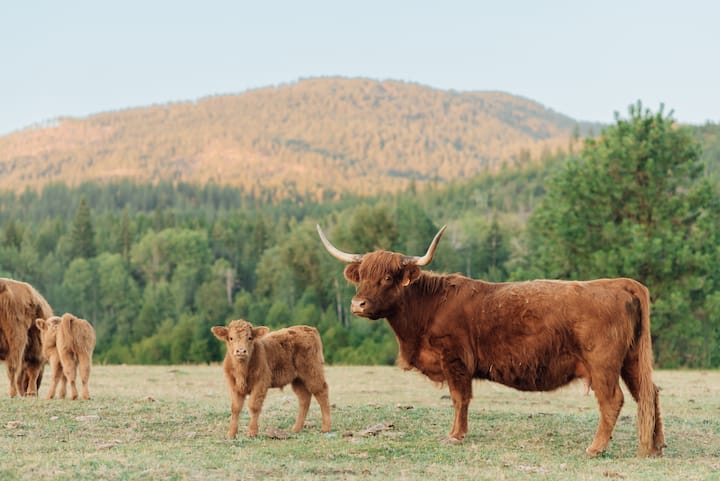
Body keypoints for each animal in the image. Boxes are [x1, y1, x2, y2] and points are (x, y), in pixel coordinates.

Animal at [317, 224, 665, 457]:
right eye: (361, 277)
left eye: (388, 277)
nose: (357, 305)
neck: (427, 309)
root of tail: (618, 283)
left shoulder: (454, 359)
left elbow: (460, 398)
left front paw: (455, 435)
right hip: (631, 360)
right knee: (649, 394)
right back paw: (654, 446)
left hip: (603, 363)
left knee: (613, 400)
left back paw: (595, 448)